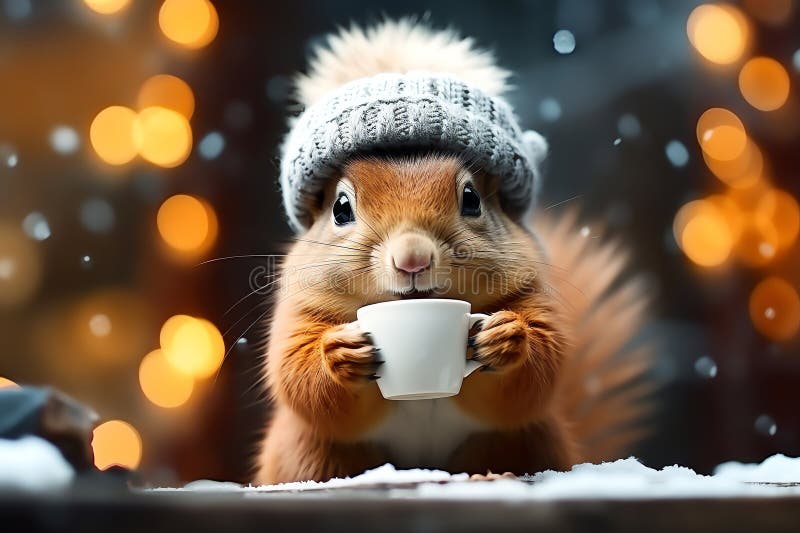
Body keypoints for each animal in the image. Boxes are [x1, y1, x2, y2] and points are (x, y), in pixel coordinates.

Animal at [253, 20, 655, 484]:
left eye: (471, 198)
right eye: (340, 208)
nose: (412, 259)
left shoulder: (532, 294)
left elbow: (540, 370)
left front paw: (508, 338)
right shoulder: (299, 309)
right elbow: (297, 376)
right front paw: (338, 355)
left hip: (519, 441)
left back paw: (491, 476)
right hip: (313, 451)